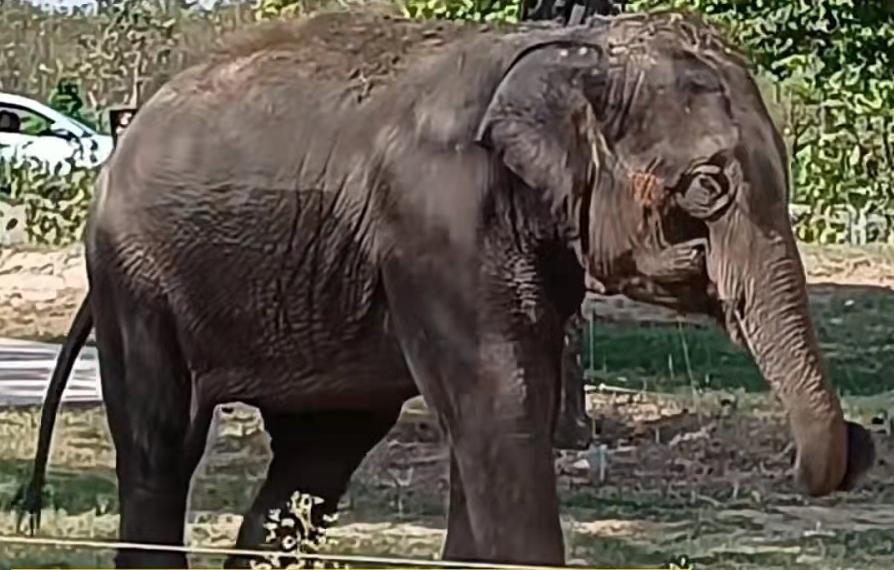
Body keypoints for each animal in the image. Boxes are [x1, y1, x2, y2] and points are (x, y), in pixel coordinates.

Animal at [16, 7, 876, 569]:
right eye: (705, 188)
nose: (859, 446)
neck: (568, 49)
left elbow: (503, 408)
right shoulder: (435, 222)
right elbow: (502, 401)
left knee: (316, 459)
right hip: (134, 277)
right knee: (161, 445)